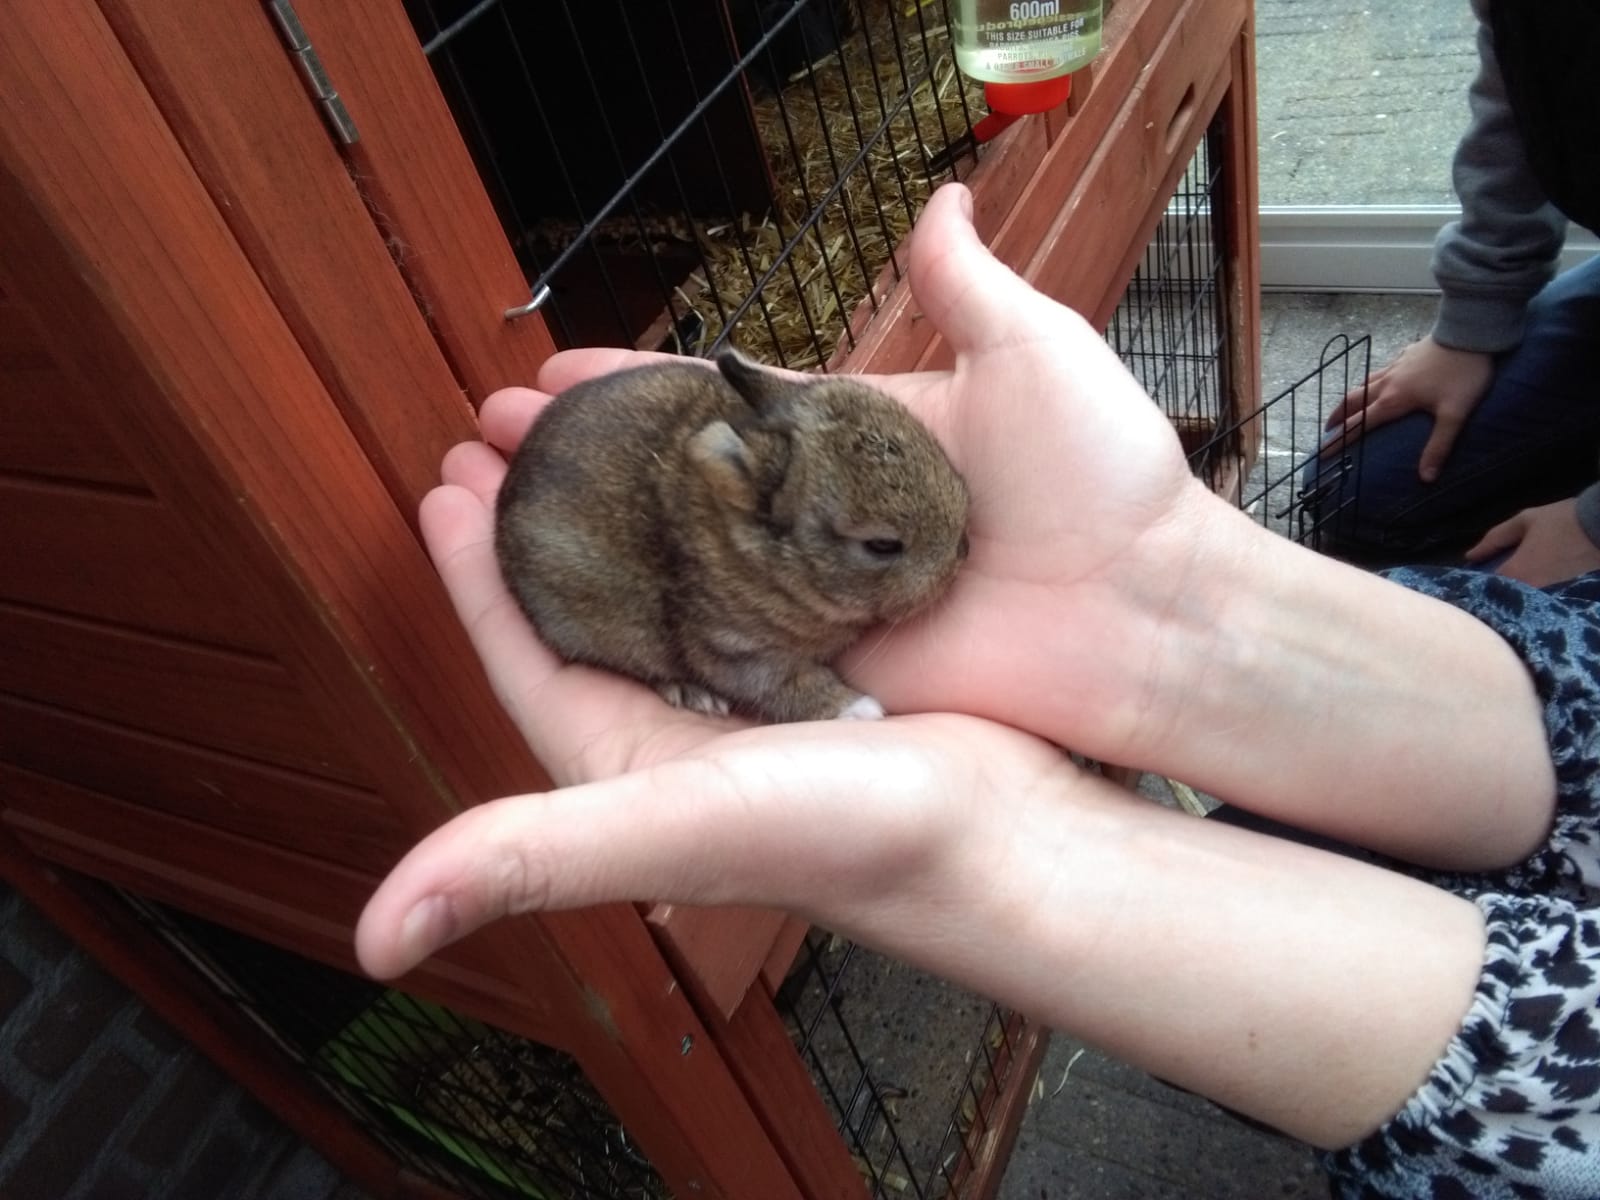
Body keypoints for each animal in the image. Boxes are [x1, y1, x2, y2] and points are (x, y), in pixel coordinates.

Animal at [493, 351, 970, 724]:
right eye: (881, 545)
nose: (963, 550)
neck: (774, 563)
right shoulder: (734, 647)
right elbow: (785, 683)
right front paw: (859, 709)